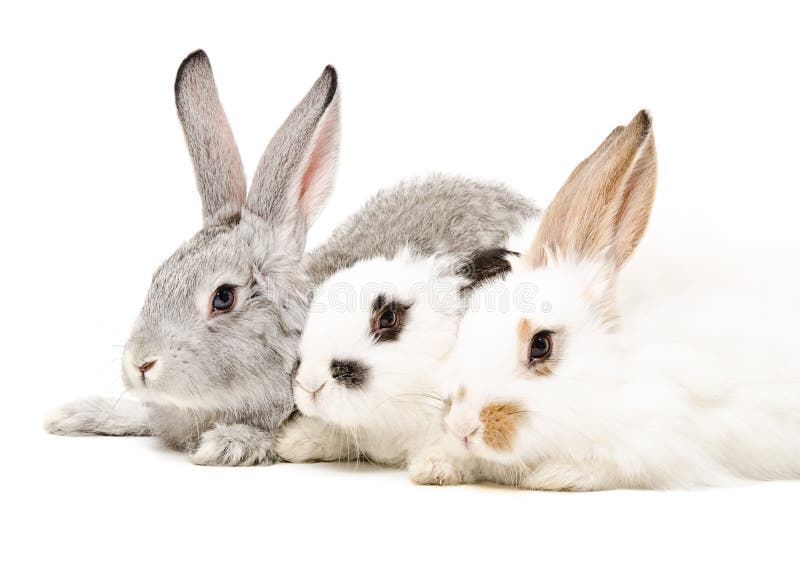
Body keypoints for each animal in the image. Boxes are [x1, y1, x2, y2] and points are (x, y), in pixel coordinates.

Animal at [423, 110, 800, 490]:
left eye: (541, 345)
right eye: (465, 329)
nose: (463, 427)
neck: (619, 370)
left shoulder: (662, 443)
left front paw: (555, 475)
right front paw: (435, 467)